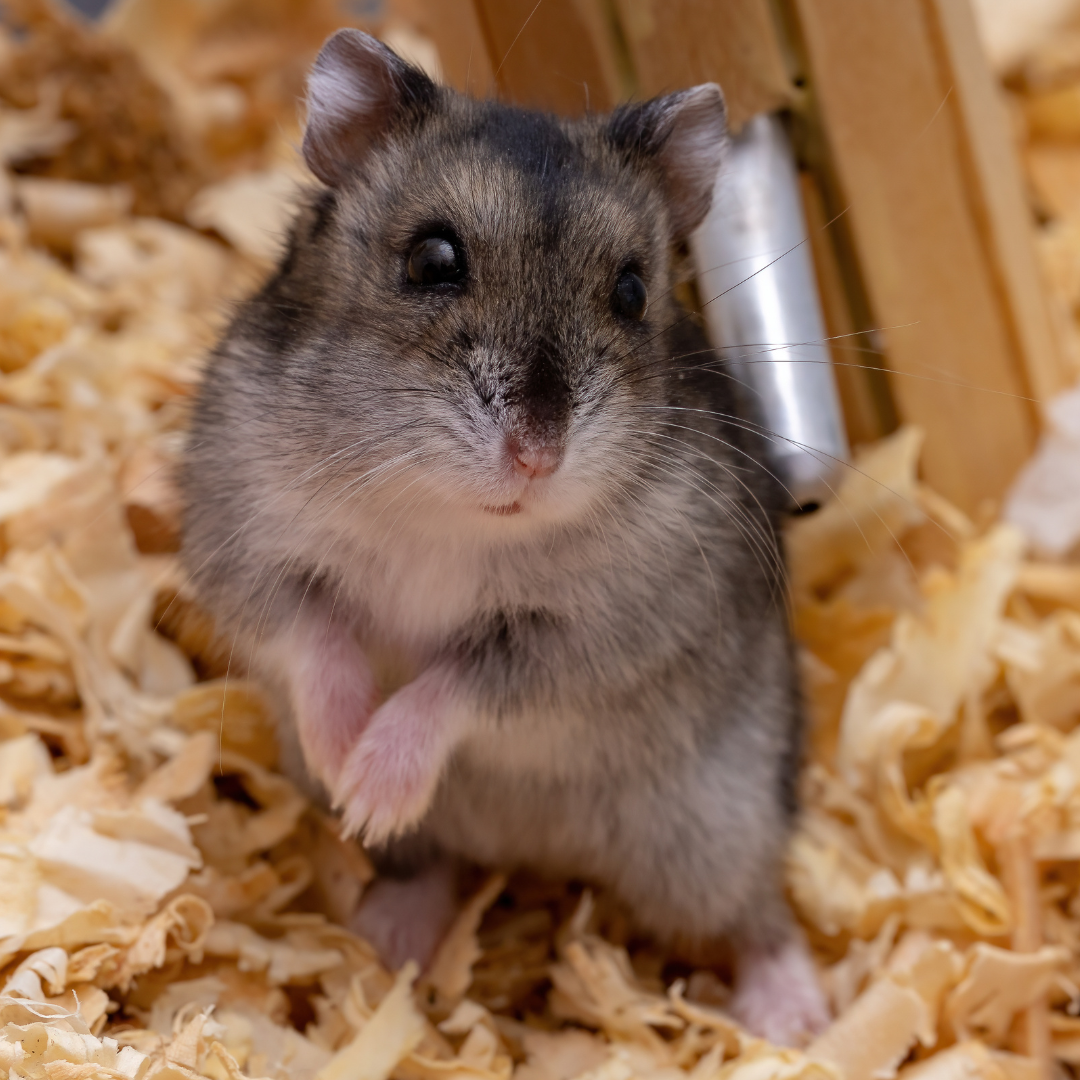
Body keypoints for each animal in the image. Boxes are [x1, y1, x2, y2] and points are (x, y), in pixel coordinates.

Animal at [179, 28, 830, 1045]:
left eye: (632, 291)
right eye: (432, 259)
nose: (536, 455)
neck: (446, 516)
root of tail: (536, 854)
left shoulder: (585, 640)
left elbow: (456, 685)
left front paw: (372, 778)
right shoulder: (245, 546)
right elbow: (316, 636)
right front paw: (343, 760)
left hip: (717, 827)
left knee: (756, 912)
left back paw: (792, 1021)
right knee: (434, 860)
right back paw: (389, 920)